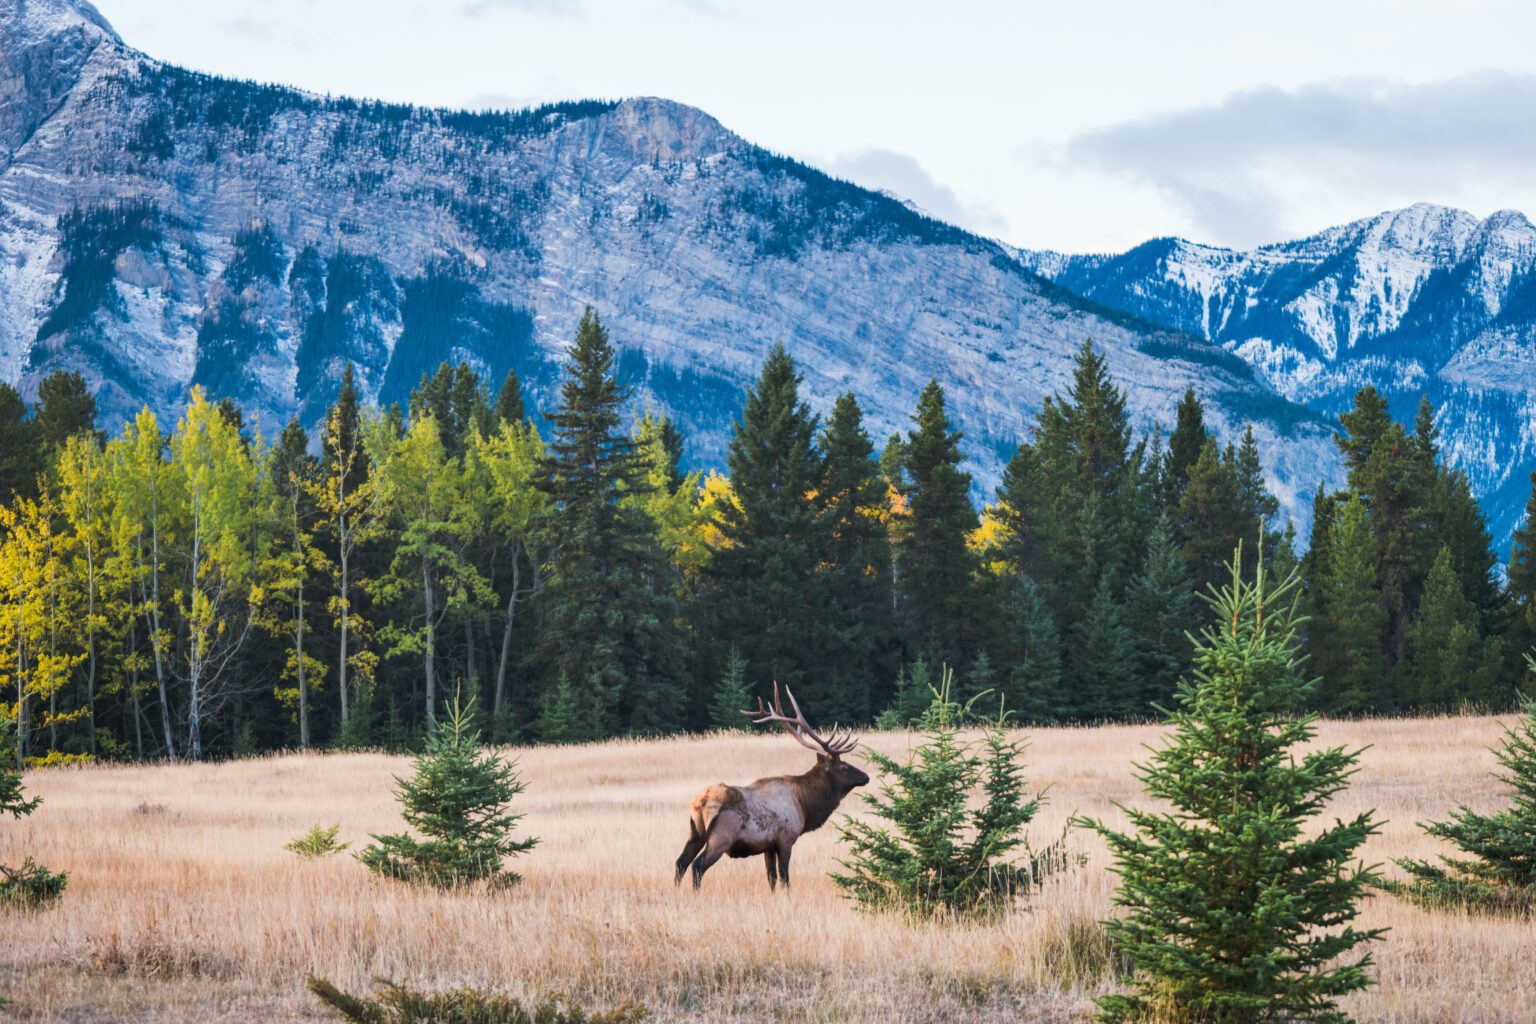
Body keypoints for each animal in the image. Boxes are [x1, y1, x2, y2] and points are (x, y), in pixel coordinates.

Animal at [674, 683, 870, 891]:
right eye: (844, 767)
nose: (866, 777)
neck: (804, 805)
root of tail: (700, 802)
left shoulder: (768, 846)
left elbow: (772, 878)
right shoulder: (785, 840)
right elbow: (784, 878)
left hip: (695, 832)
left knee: (681, 862)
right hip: (721, 837)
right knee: (697, 866)